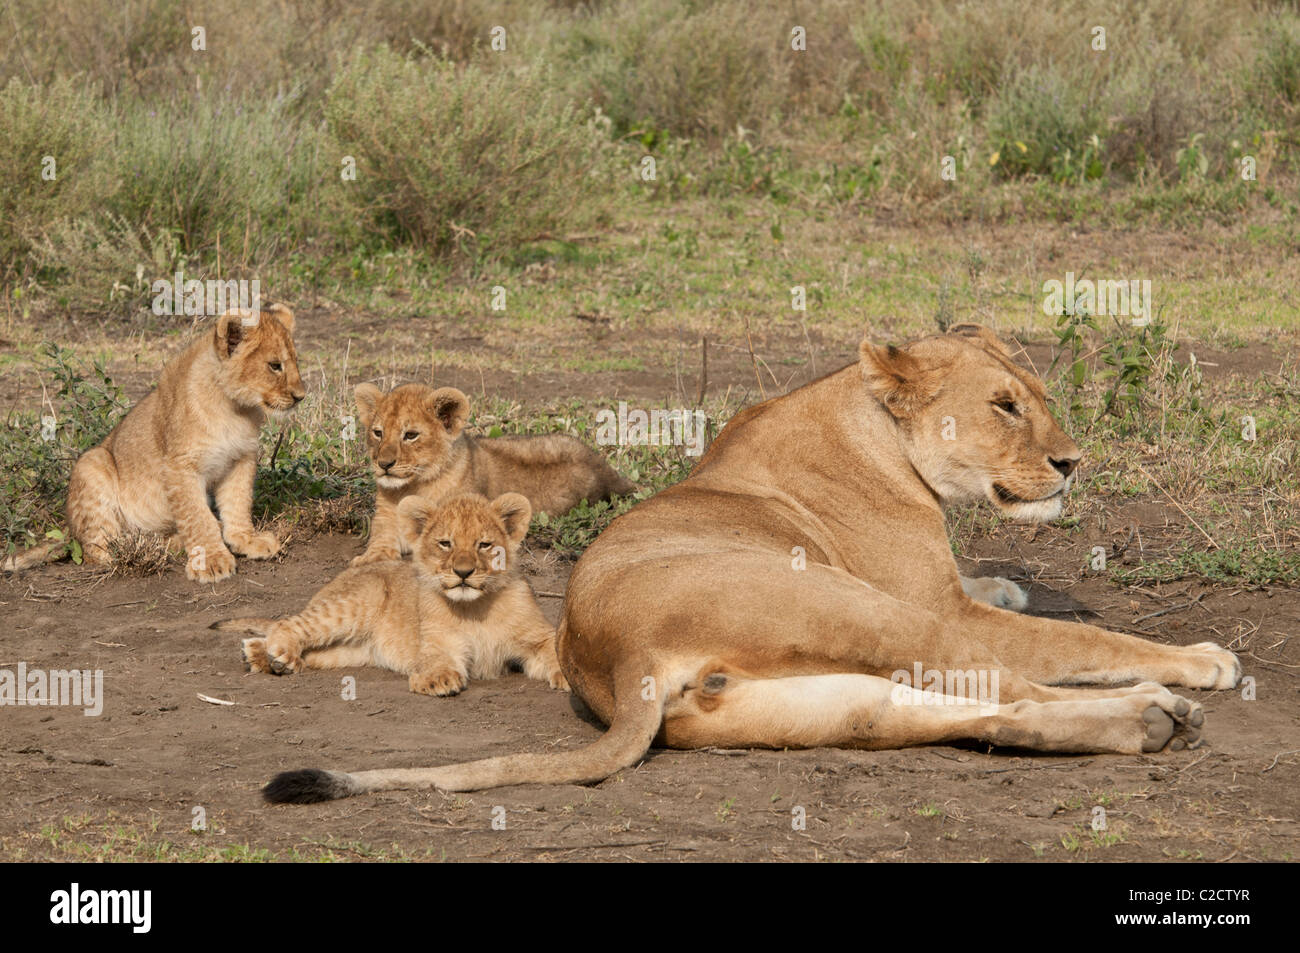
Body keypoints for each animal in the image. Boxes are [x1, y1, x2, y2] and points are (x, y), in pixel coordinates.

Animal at [3, 306, 304, 582]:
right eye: (275, 365)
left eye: (295, 363)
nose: (300, 396)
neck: (236, 409)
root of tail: (68, 528)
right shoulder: (180, 466)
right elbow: (197, 516)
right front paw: (211, 561)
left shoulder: (240, 459)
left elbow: (238, 503)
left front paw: (247, 540)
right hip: (92, 462)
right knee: (99, 549)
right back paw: (147, 547)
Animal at [214, 492, 567, 696]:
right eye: (445, 543)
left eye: (484, 544)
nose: (464, 572)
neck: (475, 609)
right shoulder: (436, 642)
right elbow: (436, 658)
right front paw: (436, 679)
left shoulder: (536, 638)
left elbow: (556, 651)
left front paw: (569, 677)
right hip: (354, 605)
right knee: (286, 623)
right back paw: (278, 654)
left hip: (348, 651)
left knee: (307, 650)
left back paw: (261, 656)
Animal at [349, 382, 636, 566]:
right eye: (378, 432)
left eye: (410, 435)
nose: (383, 464)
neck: (414, 485)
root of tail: (602, 465)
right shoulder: (385, 517)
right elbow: (380, 538)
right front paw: (371, 557)